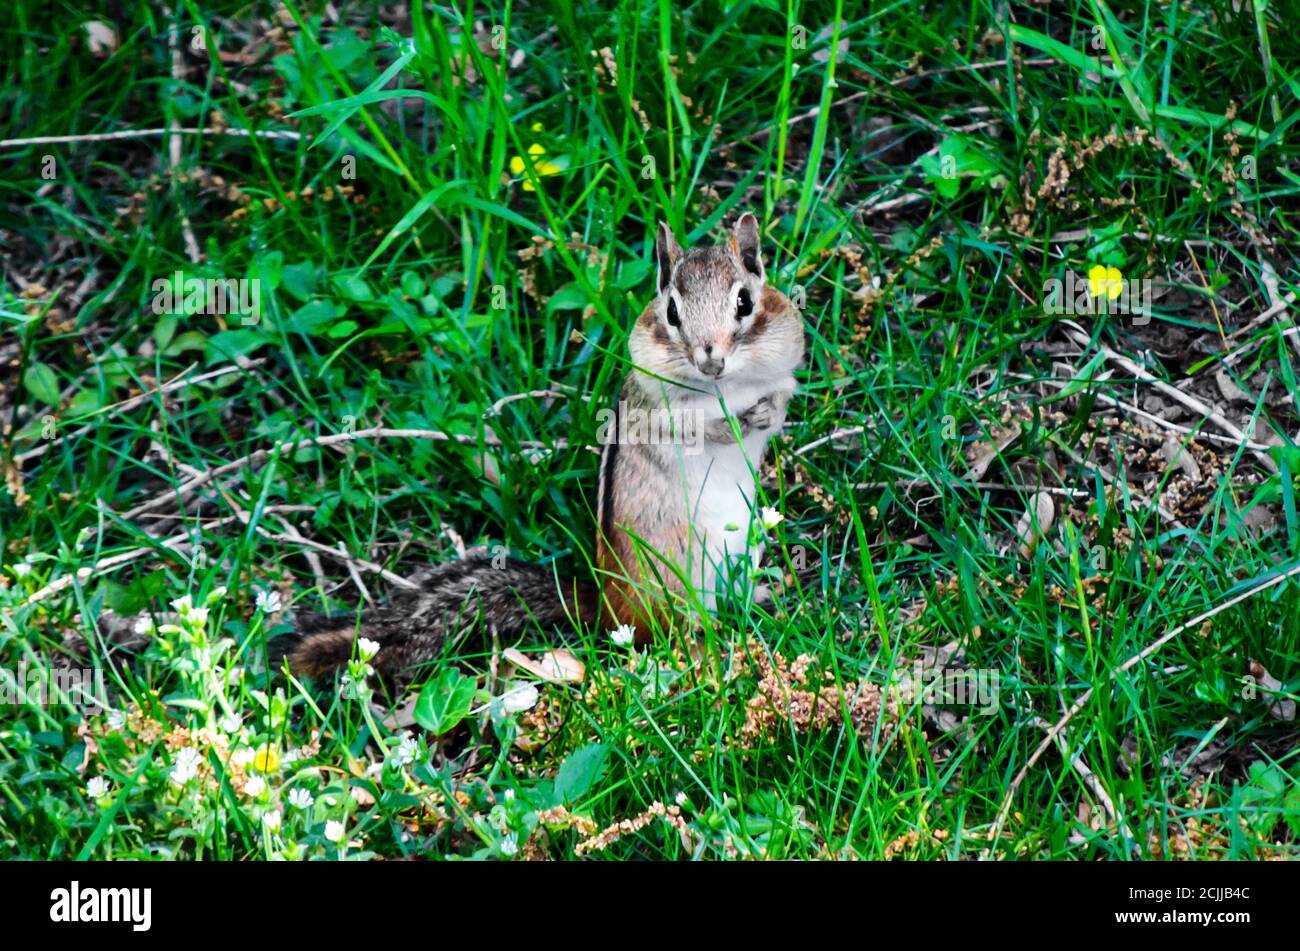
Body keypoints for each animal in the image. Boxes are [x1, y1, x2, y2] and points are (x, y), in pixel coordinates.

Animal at [284, 212, 805, 683]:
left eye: (745, 301)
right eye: (672, 312)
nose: (710, 360)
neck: (727, 386)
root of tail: (607, 604)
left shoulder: (783, 374)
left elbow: (781, 400)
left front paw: (762, 415)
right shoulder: (657, 407)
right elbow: (695, 428)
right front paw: (731, 425)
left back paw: (761, 599)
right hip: (675, 575)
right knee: (667, 631)